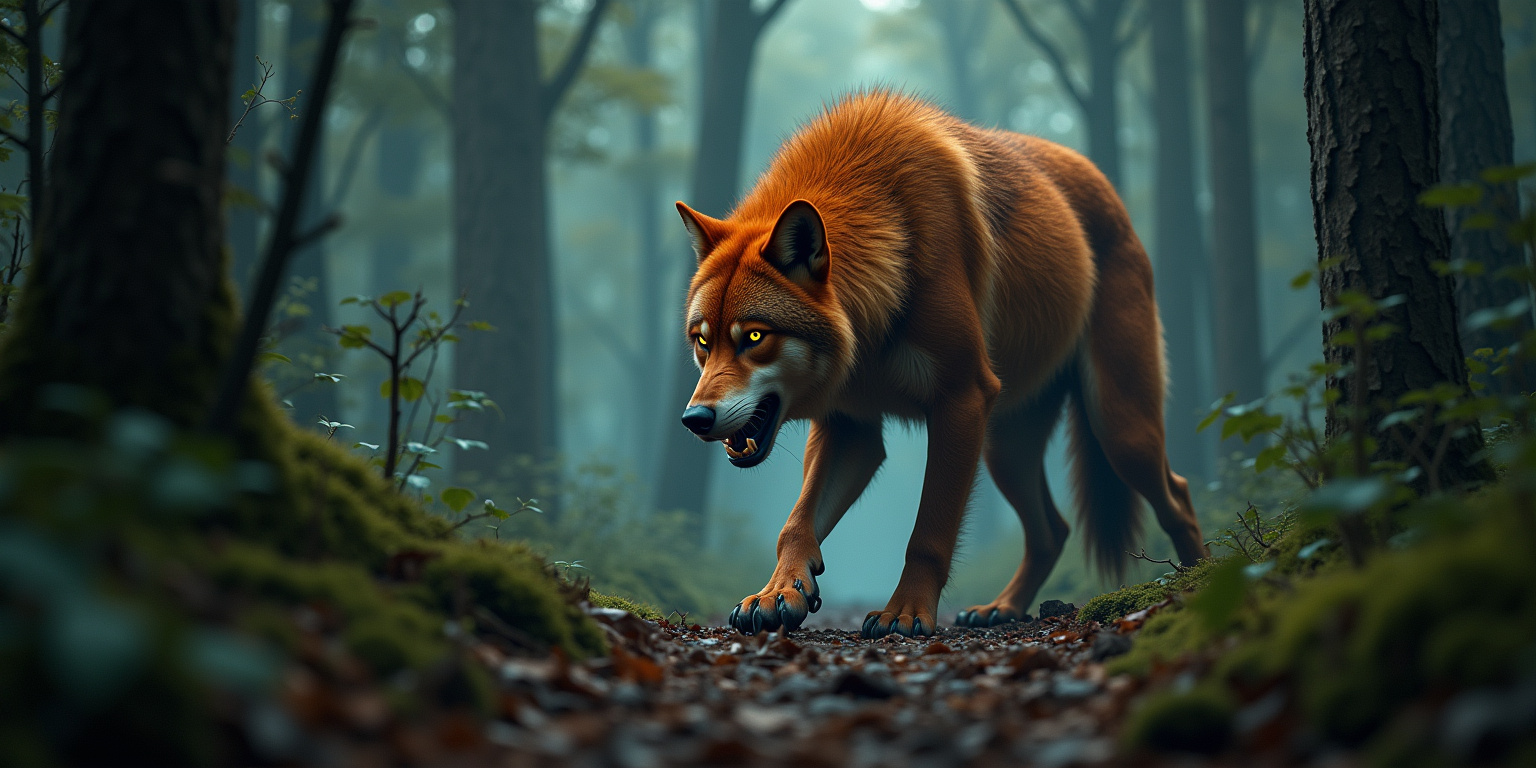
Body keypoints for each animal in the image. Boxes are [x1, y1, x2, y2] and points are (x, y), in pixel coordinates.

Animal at [674, 91, 1208, 638]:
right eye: (702, 341)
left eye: (754, 337)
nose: (694, 419)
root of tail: (1107, 188)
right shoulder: (851, 429)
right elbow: (795, 524)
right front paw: (778, 593)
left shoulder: (961, 398)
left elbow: (928, 532)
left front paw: (905, 613)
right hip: (1005, 449)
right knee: (1053, 531)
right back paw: (1001, 608)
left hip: (1118, 431)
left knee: (1179, 497)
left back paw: (1199, 585)